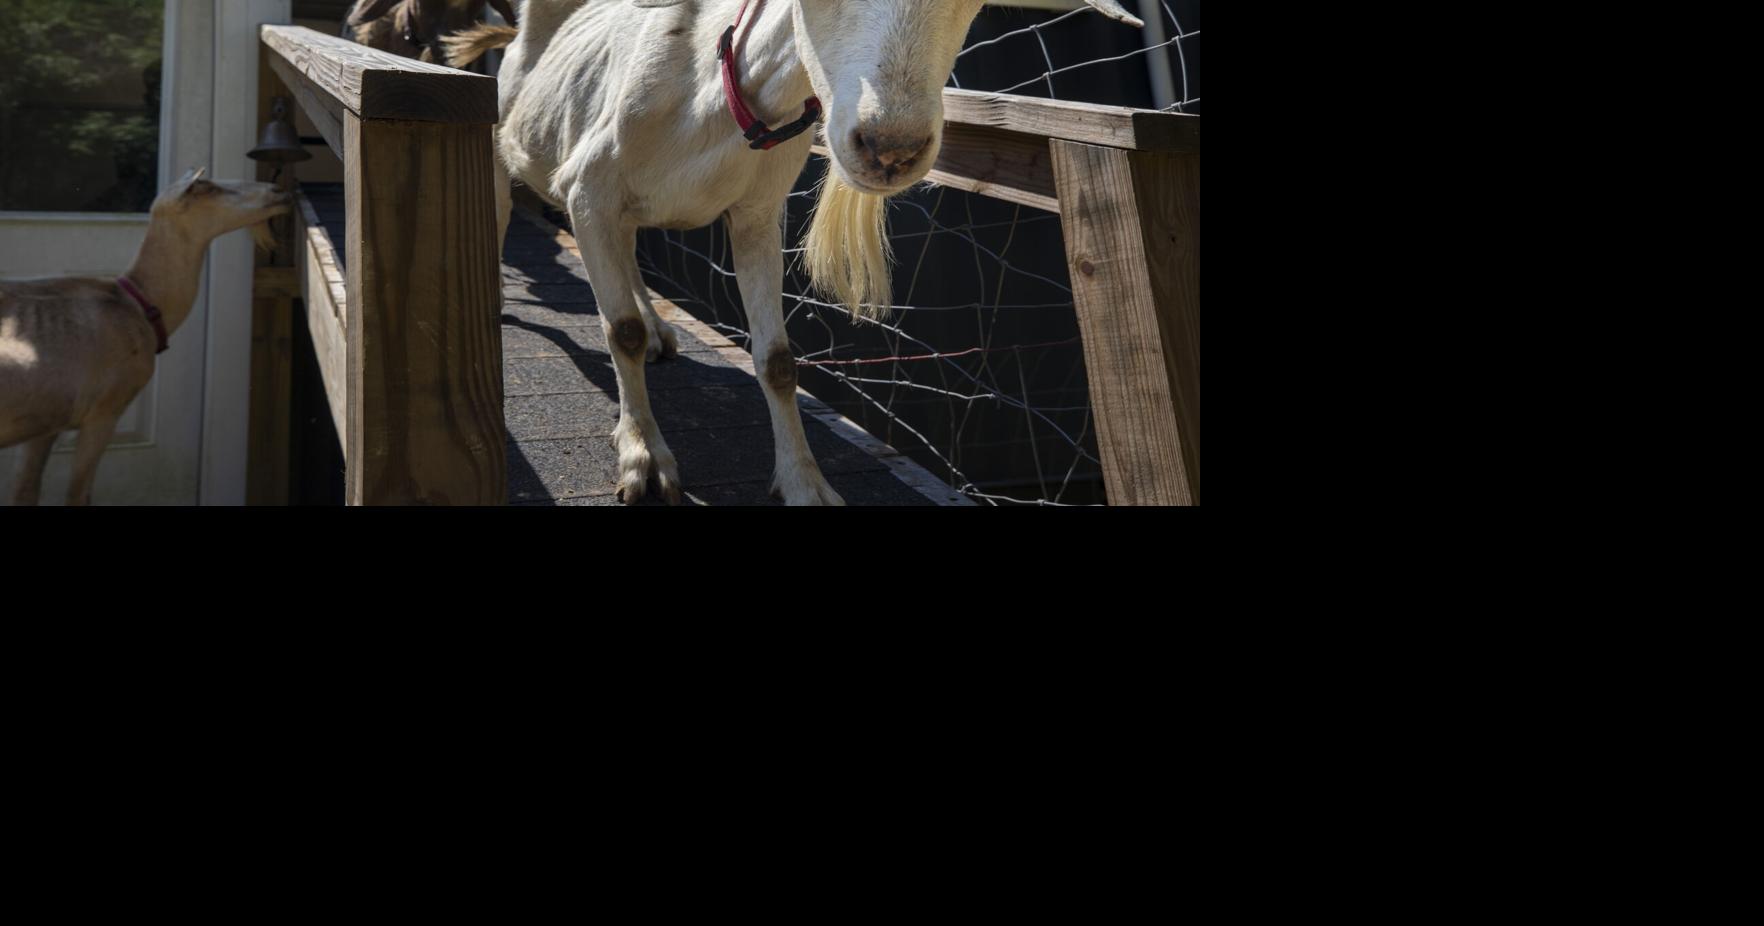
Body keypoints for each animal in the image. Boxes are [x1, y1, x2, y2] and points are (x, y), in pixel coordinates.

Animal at [0, 169, 289, 506]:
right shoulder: (104, 409)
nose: (278, 190)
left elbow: (24, 490)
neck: (140, 304)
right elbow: (78, 494)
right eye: (209, 187)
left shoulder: (44, 424)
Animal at [452, 0, 1142, 505]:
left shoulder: (758, 214)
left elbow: (779, 361)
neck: (717, 89)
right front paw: (644, 459)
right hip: (507, 147)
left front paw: (806, 484)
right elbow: (618, 330)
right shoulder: (590, 190)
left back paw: (657, 325)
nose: (889, 147)